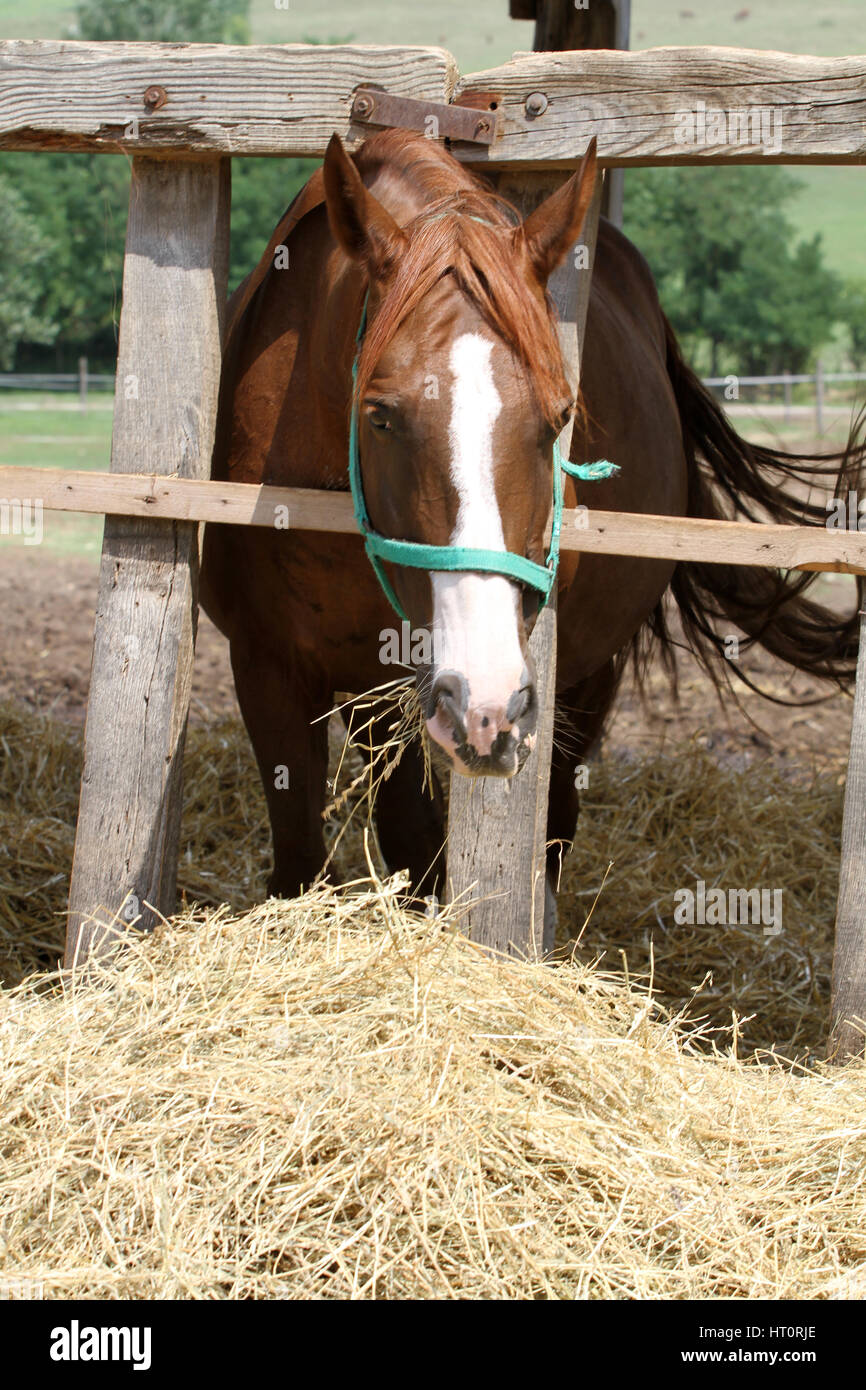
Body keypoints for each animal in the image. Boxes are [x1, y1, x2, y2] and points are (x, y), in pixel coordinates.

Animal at [201, 128, 862, 921]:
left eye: (559, 416)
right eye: (380, 415)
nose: (488, 704)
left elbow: (426, 842)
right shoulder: (266, 663)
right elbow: (308, 857)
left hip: (588, 672)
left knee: (555, 822)